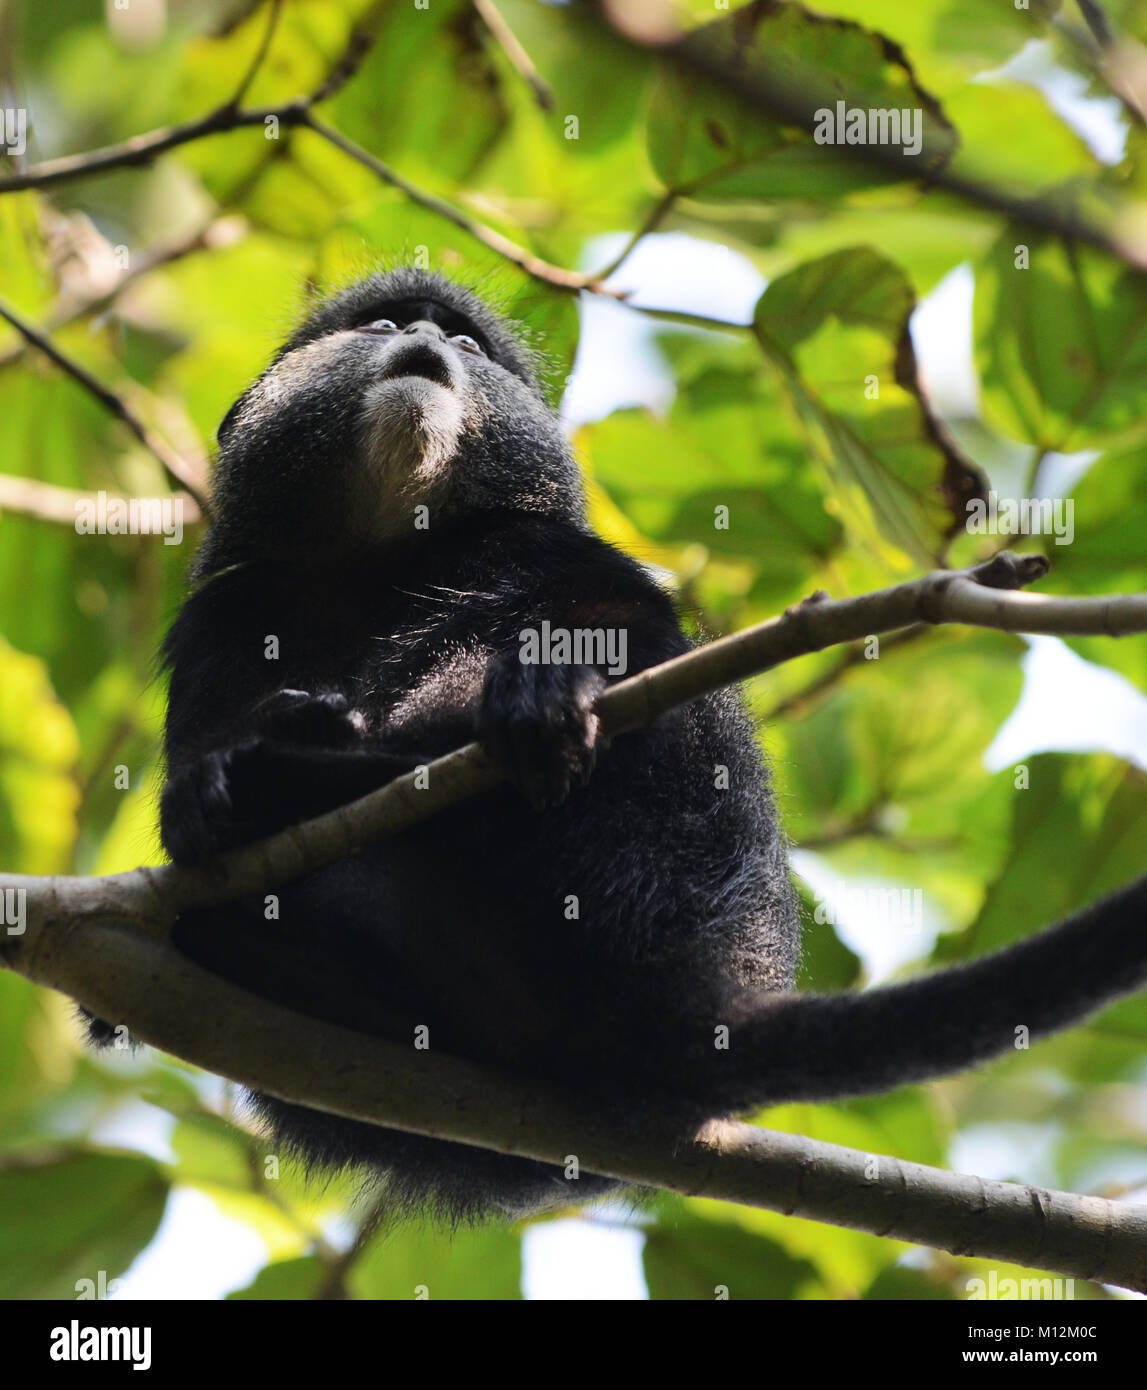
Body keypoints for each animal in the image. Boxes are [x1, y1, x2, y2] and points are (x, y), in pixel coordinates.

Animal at [87, 266, 1147, 1221]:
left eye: (464, 343)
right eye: (384, 324)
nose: (425, 342)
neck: (382, 552)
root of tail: (701, 997)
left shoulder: (534, 544)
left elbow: (618, 620)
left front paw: (544, 688)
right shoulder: (231, 611)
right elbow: (200, 755)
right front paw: (206, 800)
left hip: (655, 844)